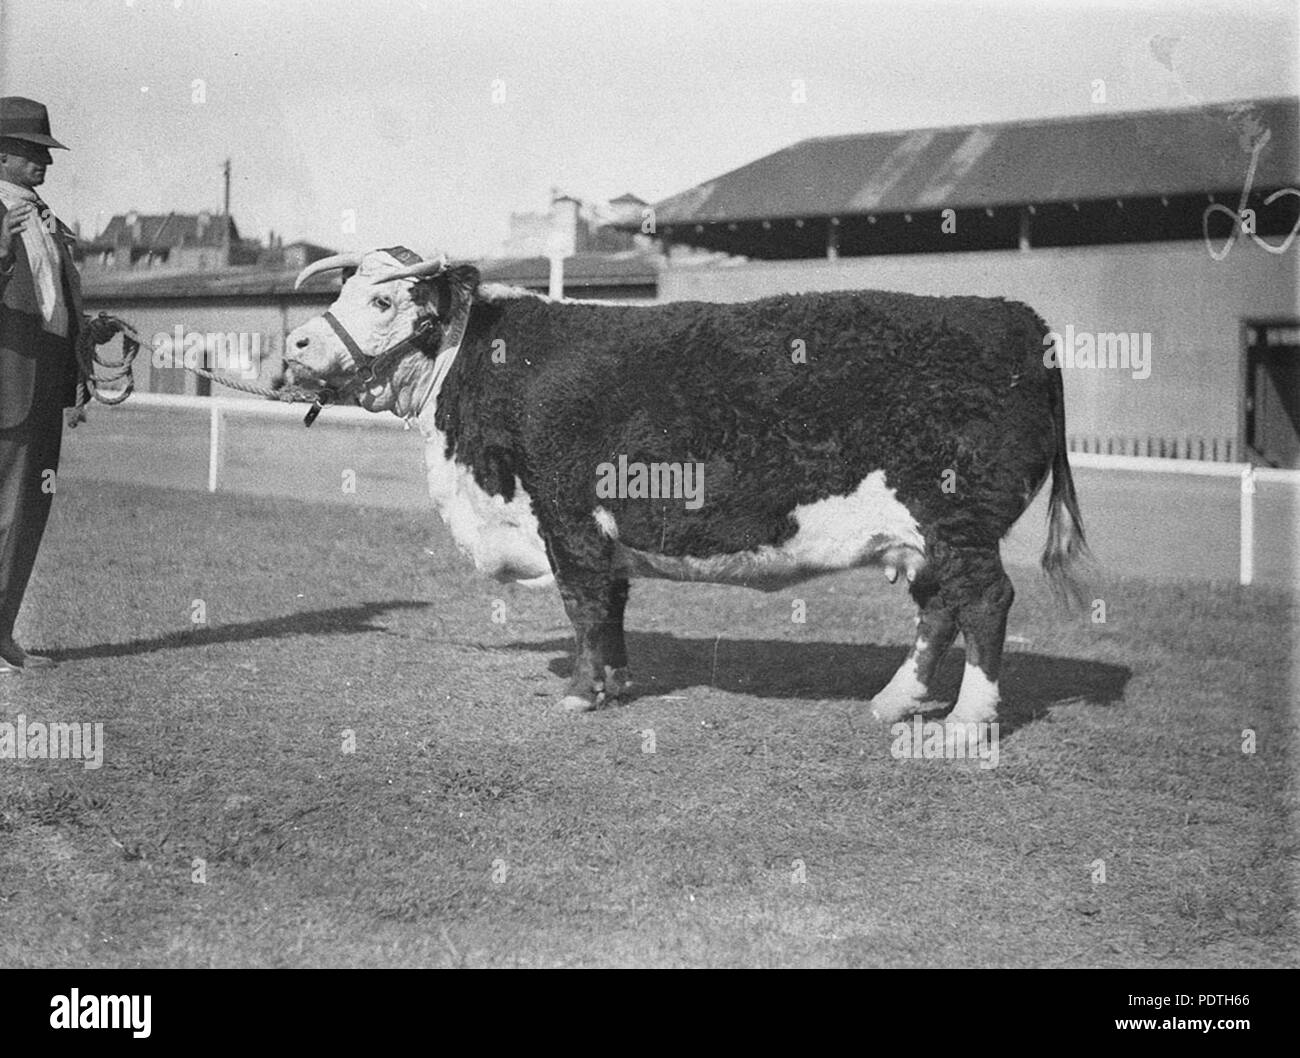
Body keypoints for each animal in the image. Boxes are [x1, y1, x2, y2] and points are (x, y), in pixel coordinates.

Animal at [277, 246, 1087, 725]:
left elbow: (583, 605)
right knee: (939, 609)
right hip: (926, 534)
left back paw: (965, 724)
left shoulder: (565, 514)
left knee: (985, 601)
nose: (295, 342)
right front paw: (616, 683)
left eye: (383, 302)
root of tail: (1018, 318)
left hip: (959, 515)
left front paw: (579, 694)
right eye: (345, 293)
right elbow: (612, 606)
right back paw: (892, 703)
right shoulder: (597, 532)